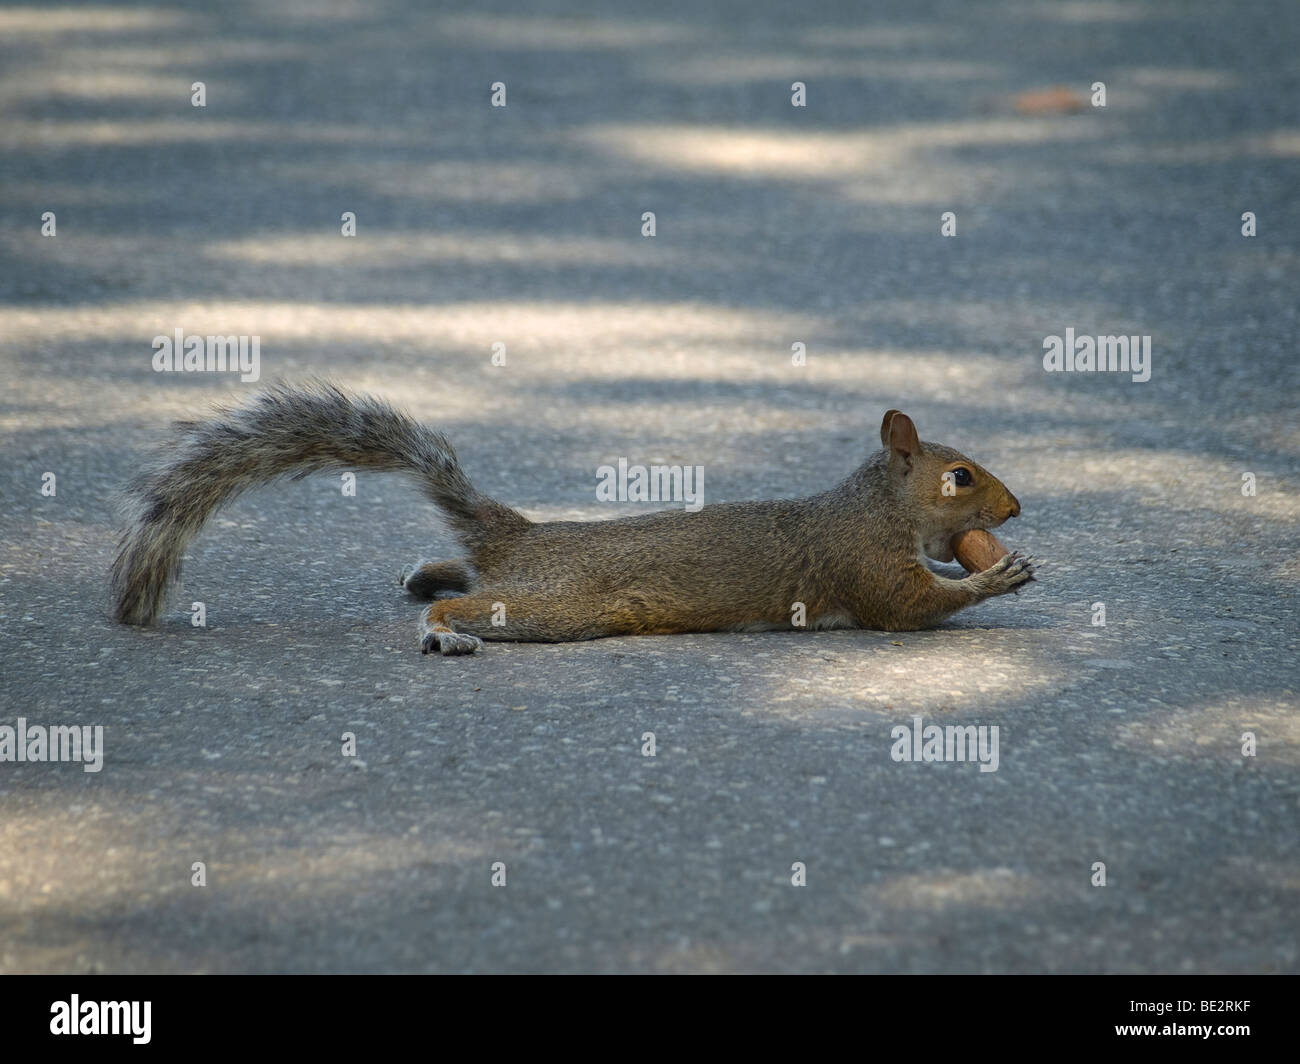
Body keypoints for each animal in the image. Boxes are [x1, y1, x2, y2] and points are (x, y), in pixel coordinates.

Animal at [111, 381, 1035, 655]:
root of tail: (522, 536)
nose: (1016, 509)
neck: (873, 506)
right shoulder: (865, 566)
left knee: (460, 569)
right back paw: (444, 629)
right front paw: (996, 573)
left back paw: (427, 573)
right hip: (556, 604)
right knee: (476, 600)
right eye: (960, 477)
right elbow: (912, 607)